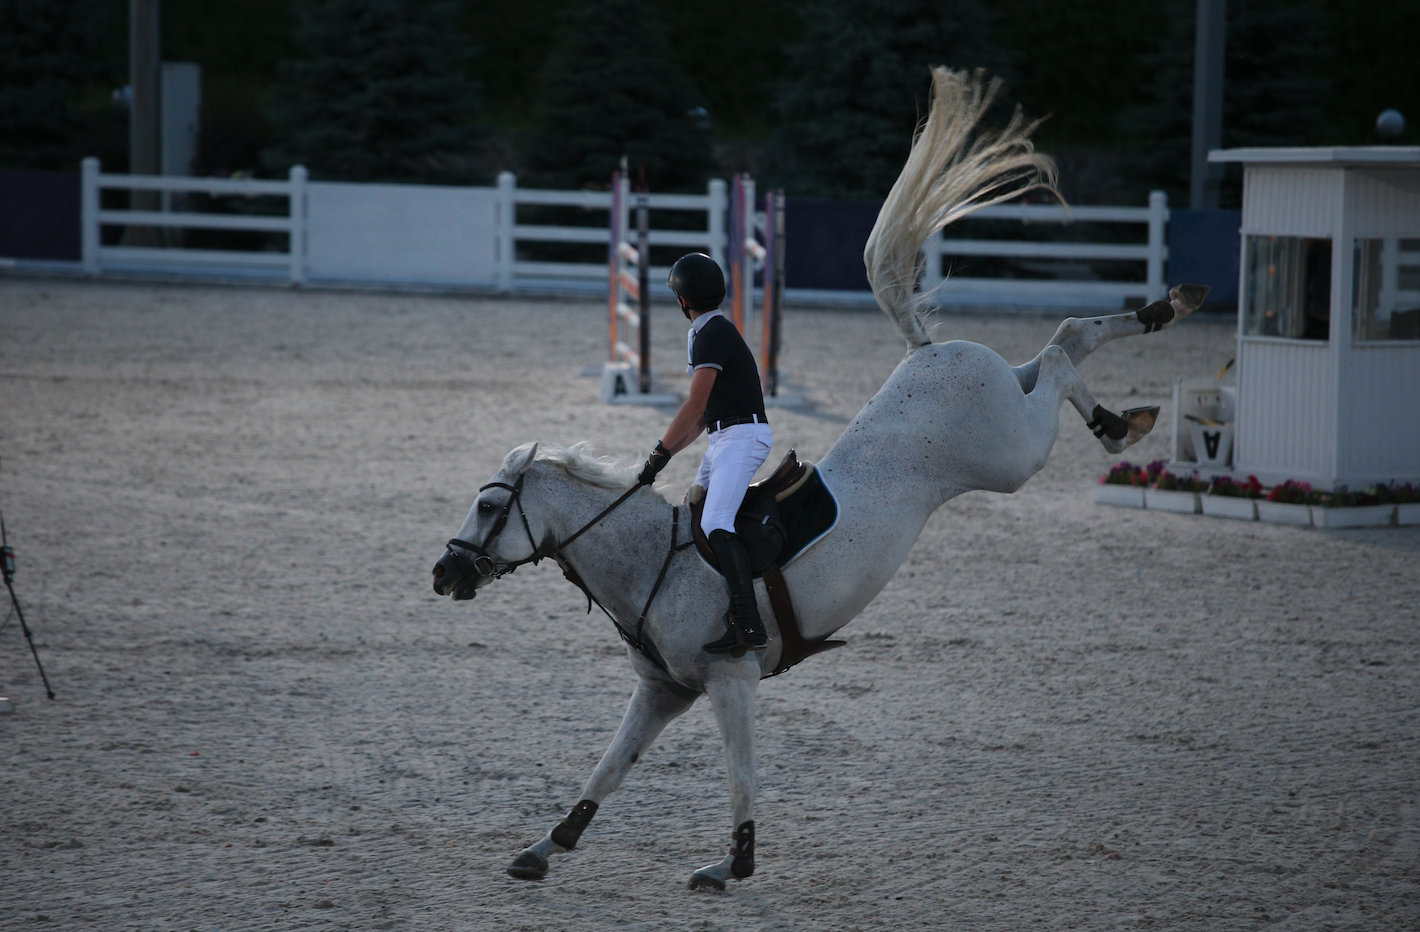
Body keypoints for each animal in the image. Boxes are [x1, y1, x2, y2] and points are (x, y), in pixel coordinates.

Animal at [430, 67, 1208, 890]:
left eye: (489, 505)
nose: (442, 574)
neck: (647, 565)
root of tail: (925, 351)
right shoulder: (663, 691)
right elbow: (606, 771)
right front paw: (546, 847)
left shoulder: (731, 681)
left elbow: (740, 773)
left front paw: (733, 862)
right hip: (1005, 409)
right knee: (1059, 345)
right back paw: (1148, 350)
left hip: (1009, 455)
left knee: (1060, 353)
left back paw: (1132, 395)